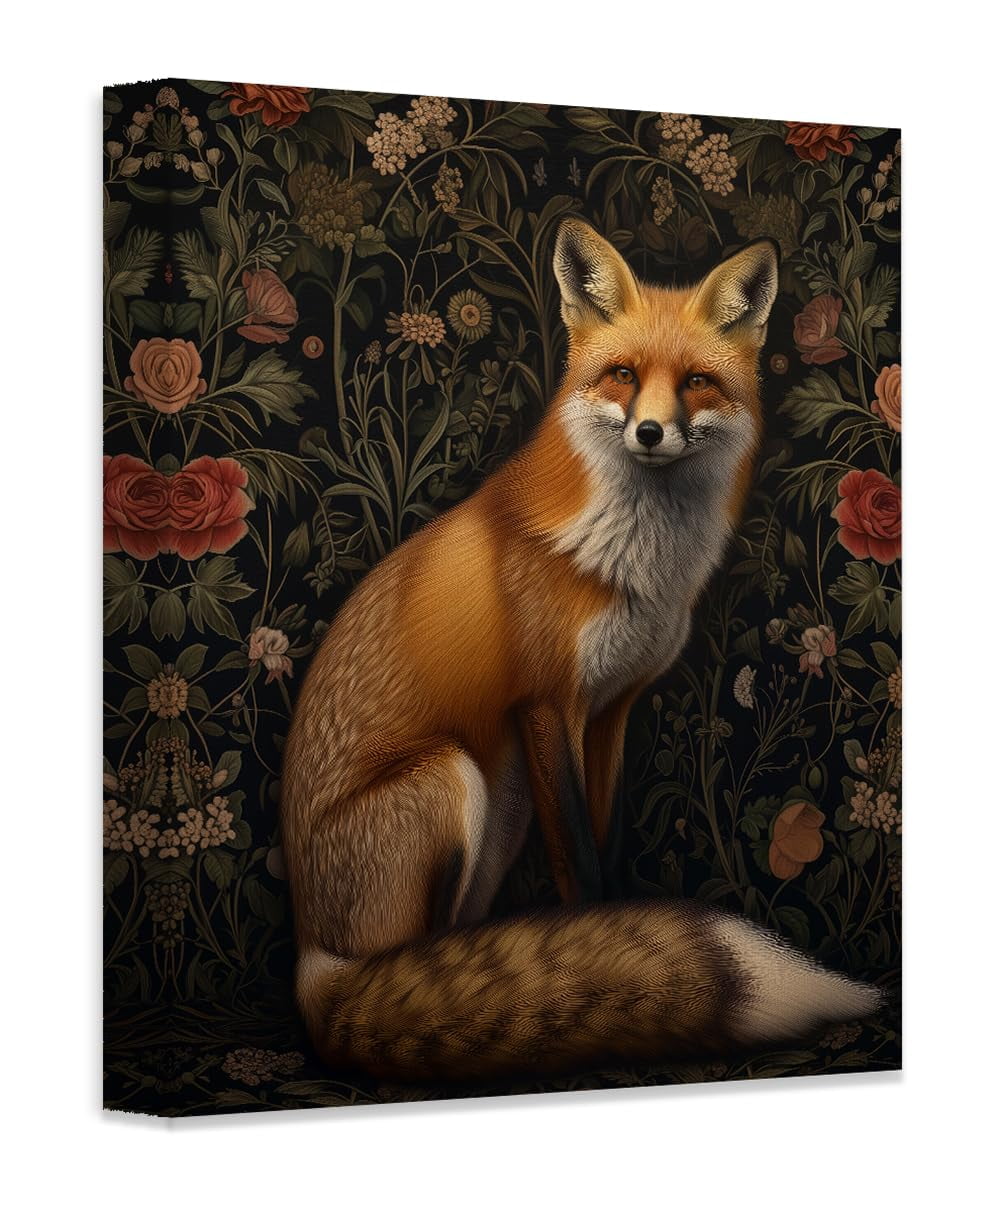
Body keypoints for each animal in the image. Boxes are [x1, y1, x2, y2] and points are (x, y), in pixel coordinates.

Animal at [281, 218, 882, 1082]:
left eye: (697, 382)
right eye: (623, 375)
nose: (651, 432)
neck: (636, 569)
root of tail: (311, 956)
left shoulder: (611, 712)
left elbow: (606, 845)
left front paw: (605, 948)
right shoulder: (547, 703)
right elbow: (579, 859)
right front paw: (596, 956)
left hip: (501, 807)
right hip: (452, 778)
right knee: (403, 969)